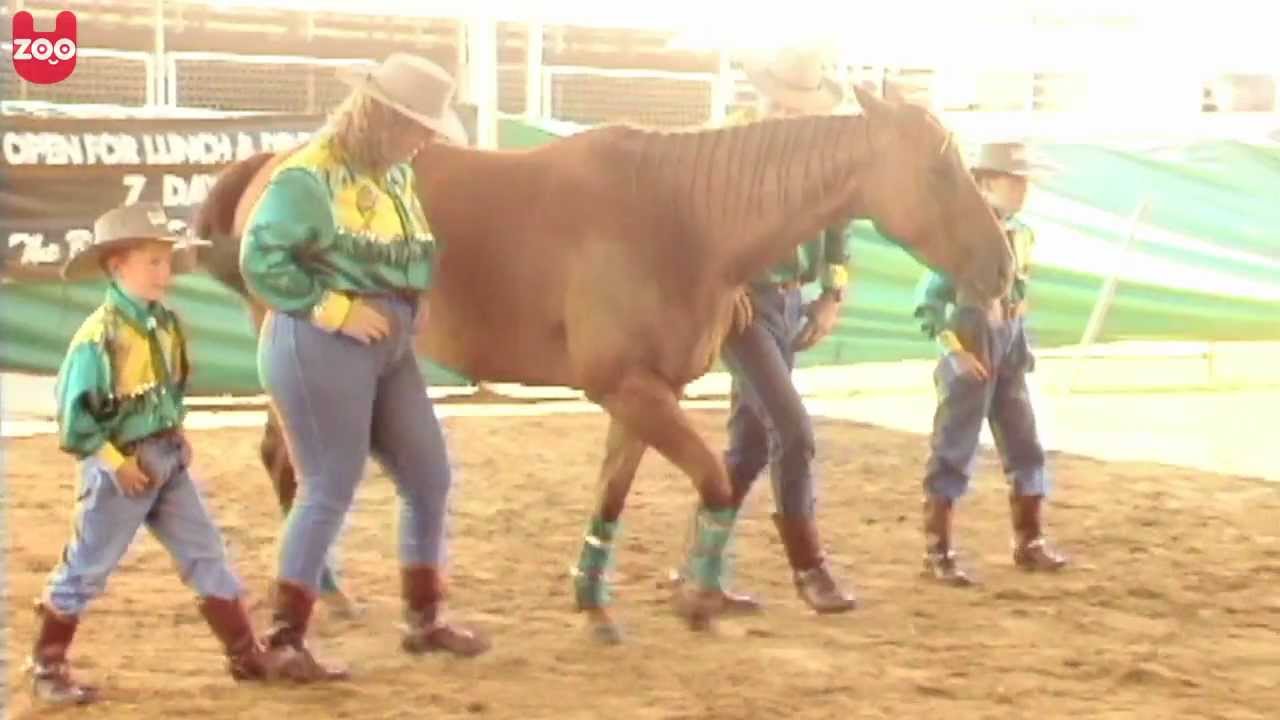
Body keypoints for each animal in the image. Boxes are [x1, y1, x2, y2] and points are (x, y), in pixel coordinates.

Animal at [192, 84, 1013, 642]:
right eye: (939, 172)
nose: (1003, 266)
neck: (682, 218)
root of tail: (271, 163)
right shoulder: (627, 388)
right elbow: (716, 482)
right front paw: (696, 599)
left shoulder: (640, 395)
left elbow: (611, 496)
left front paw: (594, 602)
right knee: (294, 466)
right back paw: (326, 593)